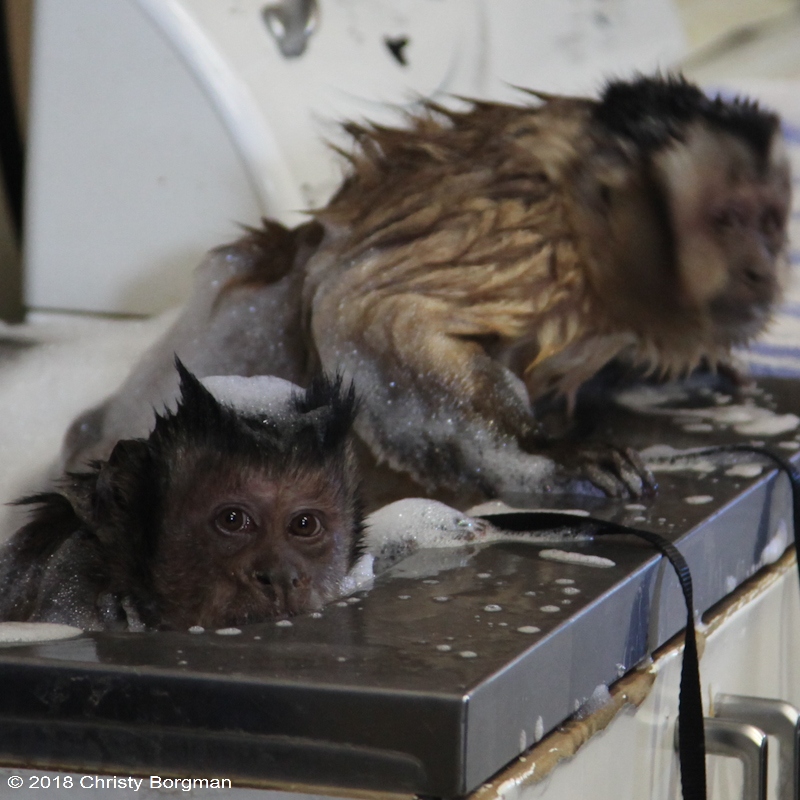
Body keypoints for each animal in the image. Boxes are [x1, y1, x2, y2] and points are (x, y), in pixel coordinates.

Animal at [61, 74, 792, 504]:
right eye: (728, 221)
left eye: (770, 220)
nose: (766, 268)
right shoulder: (518, 226)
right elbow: (365, 312)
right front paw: (543, 455)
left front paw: (691, 371)